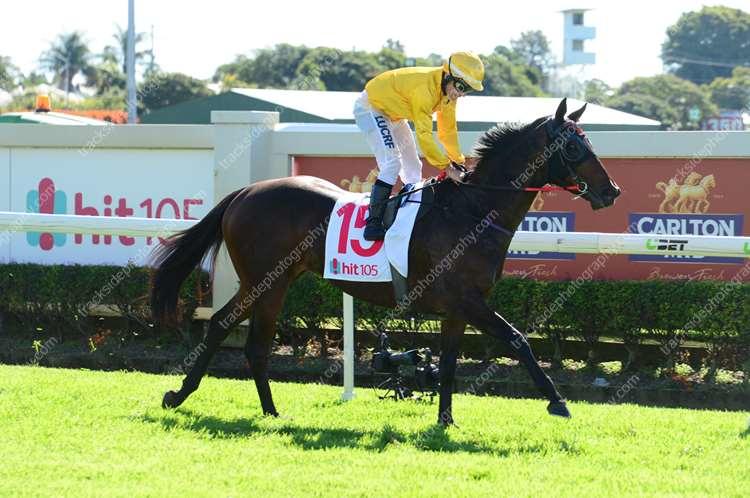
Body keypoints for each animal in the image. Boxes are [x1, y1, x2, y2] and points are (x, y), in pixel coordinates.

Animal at [150, 98, 621, 426]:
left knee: (246, 339)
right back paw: (190, 397)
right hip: (264, 279)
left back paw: (260, 410)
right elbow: (518, 339)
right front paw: (558, 401)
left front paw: (446, 421)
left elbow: (449, 365)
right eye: (574, 147)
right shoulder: (468, 301)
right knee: (229, 329)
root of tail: (244, 192)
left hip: (276, 280)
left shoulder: (458, 309)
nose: (611, 191)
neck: (472, 211)